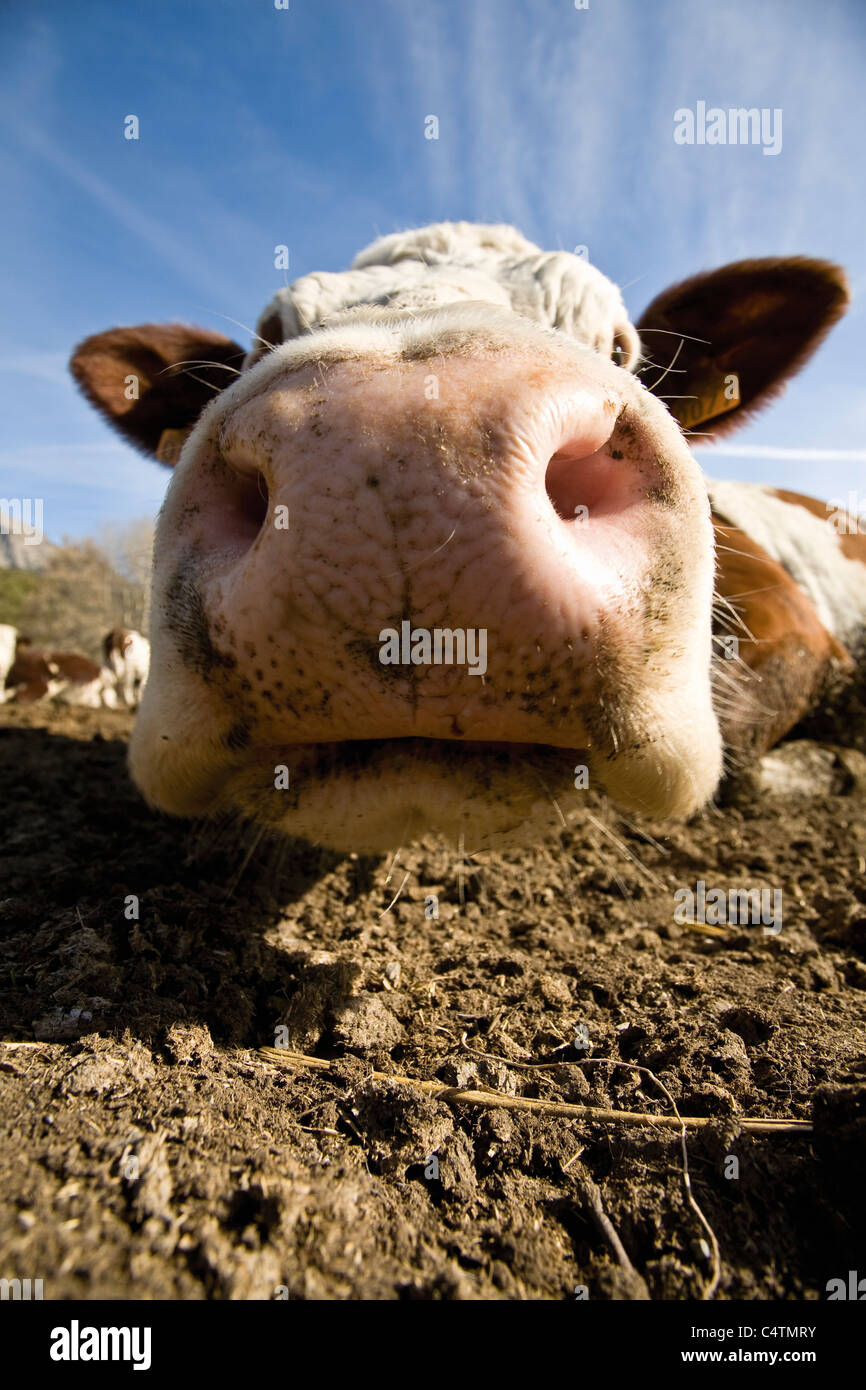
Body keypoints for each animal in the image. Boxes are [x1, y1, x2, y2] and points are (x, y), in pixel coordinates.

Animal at [68, 222, 864, 852]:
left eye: (619, 346)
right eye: (267, 333)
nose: (409, 447)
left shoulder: (799, 627)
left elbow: (748, 767)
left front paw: (839, 762)